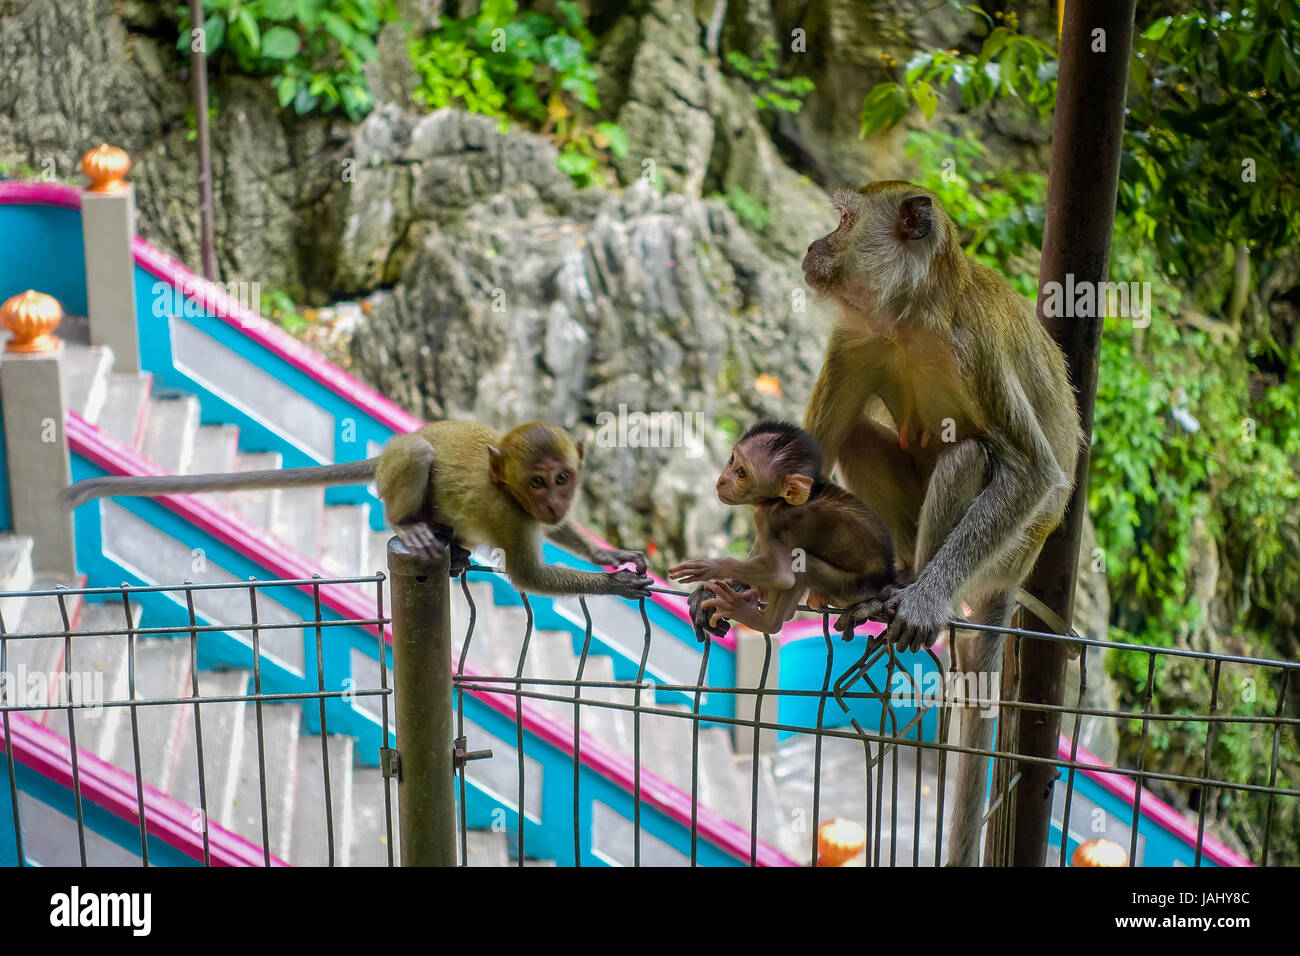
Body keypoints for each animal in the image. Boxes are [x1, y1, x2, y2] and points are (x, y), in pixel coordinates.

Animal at [61, 420, 653, 600]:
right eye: (537, 481)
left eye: (563, 478)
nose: (553, 499)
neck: (509, 489)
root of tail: (386, 451)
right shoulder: (513, 514)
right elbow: (529, 576)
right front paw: (617, 584)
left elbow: (562, 534)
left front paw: (608, 554)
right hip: (401, 469)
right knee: (417, 458)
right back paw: (412, 527)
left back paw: (455, 549)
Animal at [669, 421, 898, 635]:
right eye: (732, 460)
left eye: (741, 473)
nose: (723, 480)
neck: (779, 501)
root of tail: (887, 581)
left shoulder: (769, 519)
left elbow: (782, 576)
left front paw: (711, 567)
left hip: (848, 589)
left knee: (800, 563)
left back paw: (761, 620)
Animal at [799, 181, 1083, 866]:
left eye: (844, 220)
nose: (815, 245)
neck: (911, 320)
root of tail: (1013, 581)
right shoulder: (857, 338)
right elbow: (812, 454)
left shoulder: (974, 343)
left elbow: (1034, 471)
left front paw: (923, 602)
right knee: (860, 438)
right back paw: (889, 579)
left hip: (1004, 554)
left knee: (971, 458)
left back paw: (914, 594)